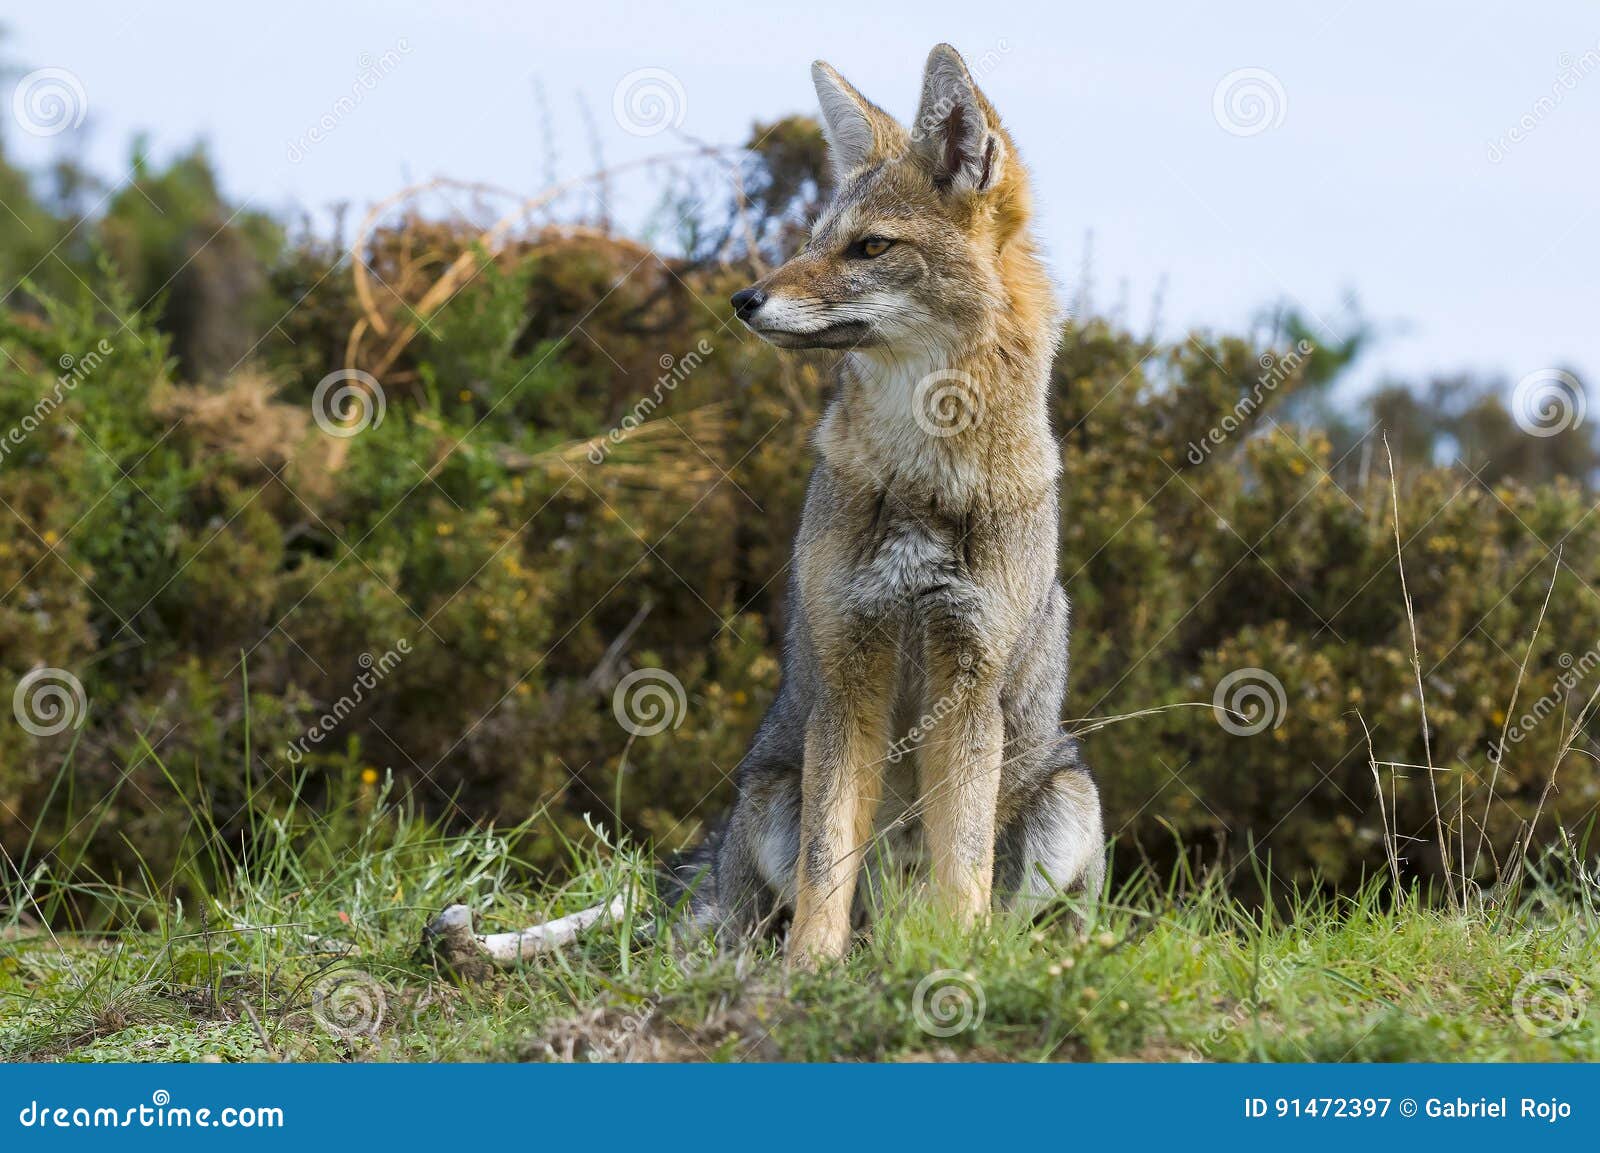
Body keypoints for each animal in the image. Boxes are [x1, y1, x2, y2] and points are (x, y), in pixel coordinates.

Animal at [425, 43, 1104, 973]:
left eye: (870, 247)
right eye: (811, 241)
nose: (744, 299)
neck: (925, 478)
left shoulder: (968, 677)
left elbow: (961, 862)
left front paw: (953, 967)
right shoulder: (850, 667)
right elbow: (828, 860)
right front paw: (809, 971)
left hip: (1068, 802)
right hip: (775, 795)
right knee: (729, 929)